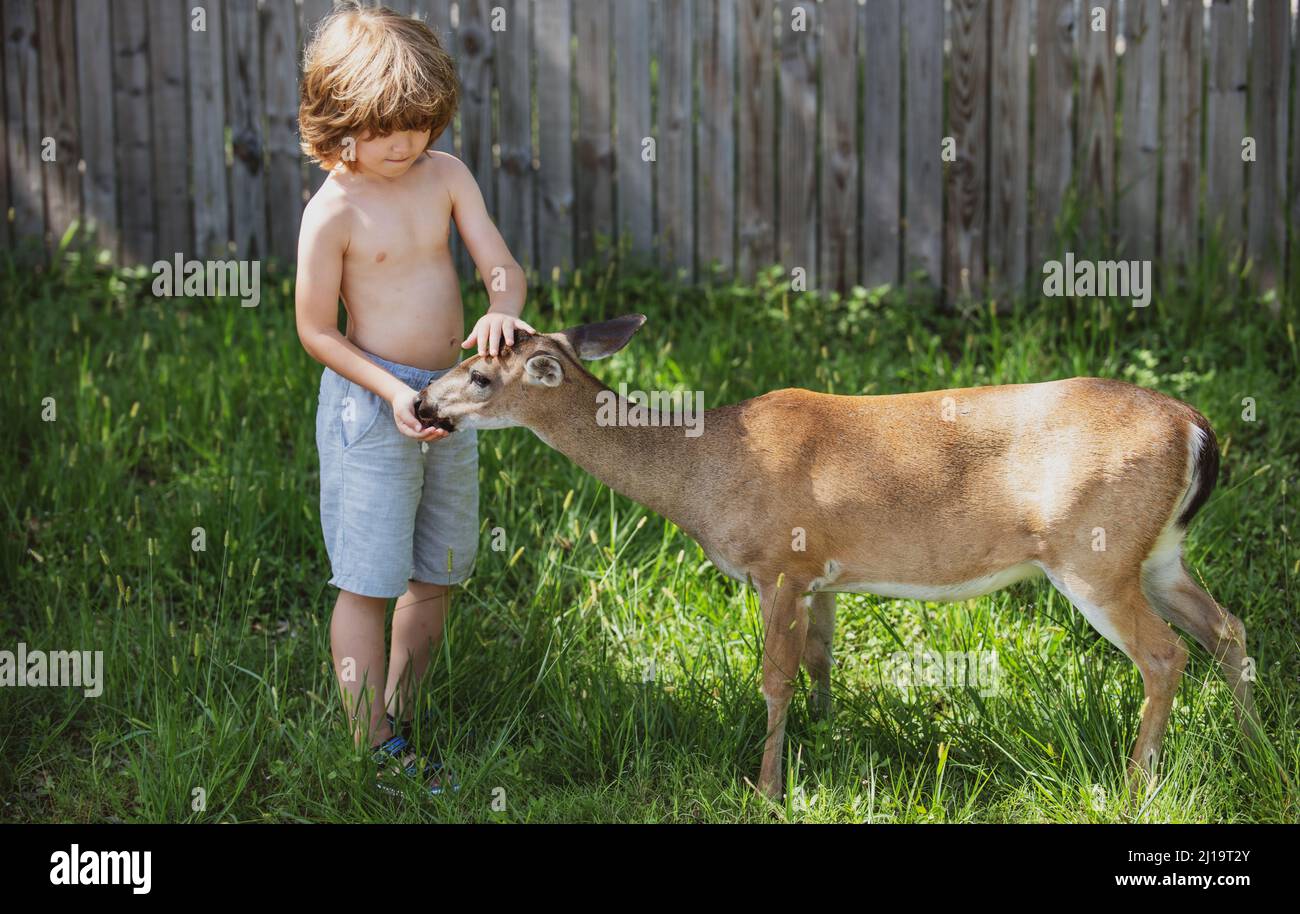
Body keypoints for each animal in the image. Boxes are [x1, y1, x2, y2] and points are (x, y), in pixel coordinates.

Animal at [414, 314, 1260, 800]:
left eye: (479, 375)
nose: (421, 402)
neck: (706, 468)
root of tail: (1195, 427)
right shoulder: (825, 571)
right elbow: (822, 660)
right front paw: (829, 745)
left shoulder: (778, 563)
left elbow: (775, 677)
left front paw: (765, 788)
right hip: (1159, 552)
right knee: (1229, 630)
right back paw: (1252, 747)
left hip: (1093, 552)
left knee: (1164, 655)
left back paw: (1137, 786)